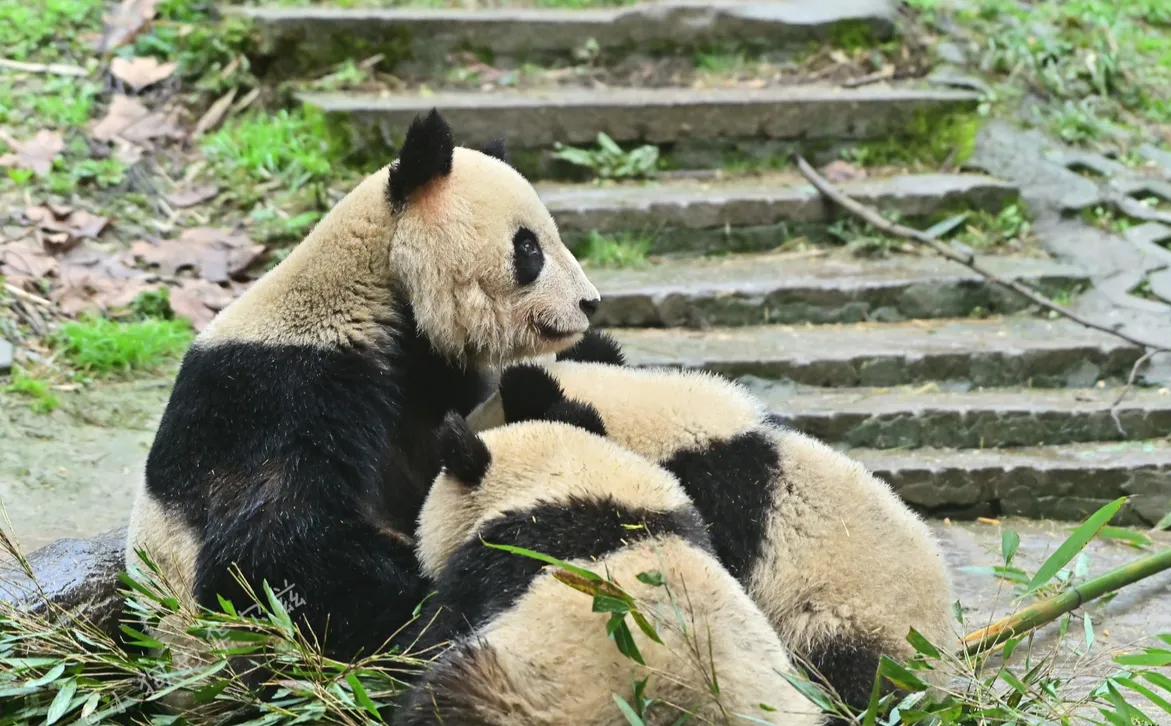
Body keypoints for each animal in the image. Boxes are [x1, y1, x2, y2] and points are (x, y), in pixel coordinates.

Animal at [124, 110, 601, 661]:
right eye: (528, 247)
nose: (590, 303)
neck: (372, 290)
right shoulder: (280, 396)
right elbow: (270, 550)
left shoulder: (427, 373)